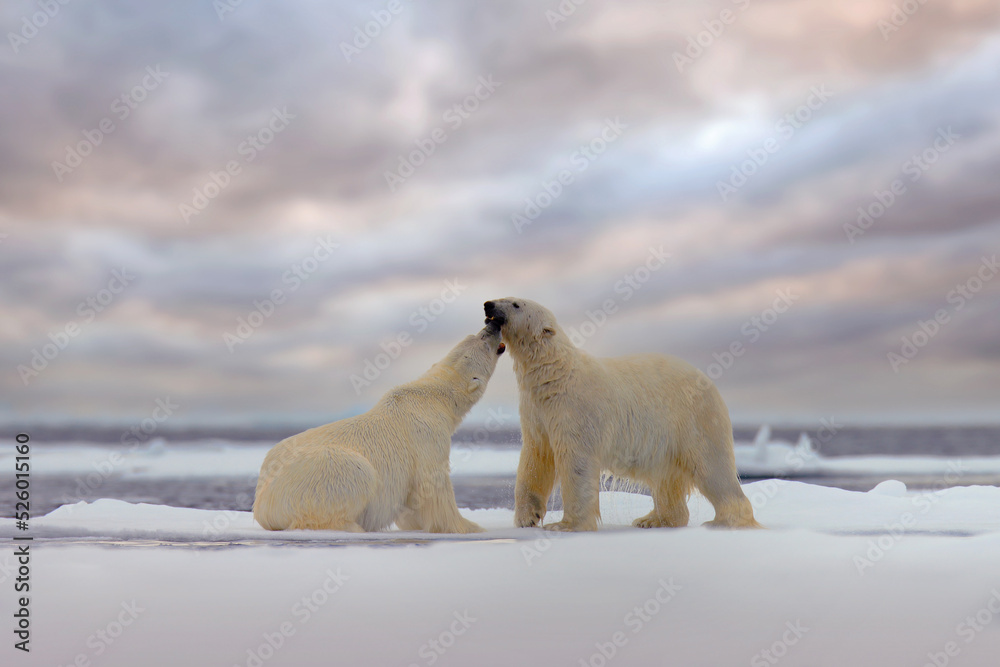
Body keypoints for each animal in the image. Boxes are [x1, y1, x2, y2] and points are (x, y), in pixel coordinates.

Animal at [252, 323, 506, 533]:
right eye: (483, 340)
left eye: (476, 333)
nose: (492, 325)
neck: (433, 397)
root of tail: (262, 506)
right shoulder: (427, 436)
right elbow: (433, 484)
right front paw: (468, 526)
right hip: (318, 476)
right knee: (353, 472)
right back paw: (352, 526)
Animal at [483, 297, 760, 531]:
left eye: (516, 304)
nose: (488, 305)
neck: (555, 374)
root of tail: (712, 385)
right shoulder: (536, 411)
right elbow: (536, 456)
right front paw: (527, 518)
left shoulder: (575, 408)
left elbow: (576, 462)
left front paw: (565, 525)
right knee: (667, 480)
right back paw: (652, 520)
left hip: (695, 419)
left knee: (713, 468)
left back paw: (723, 521)